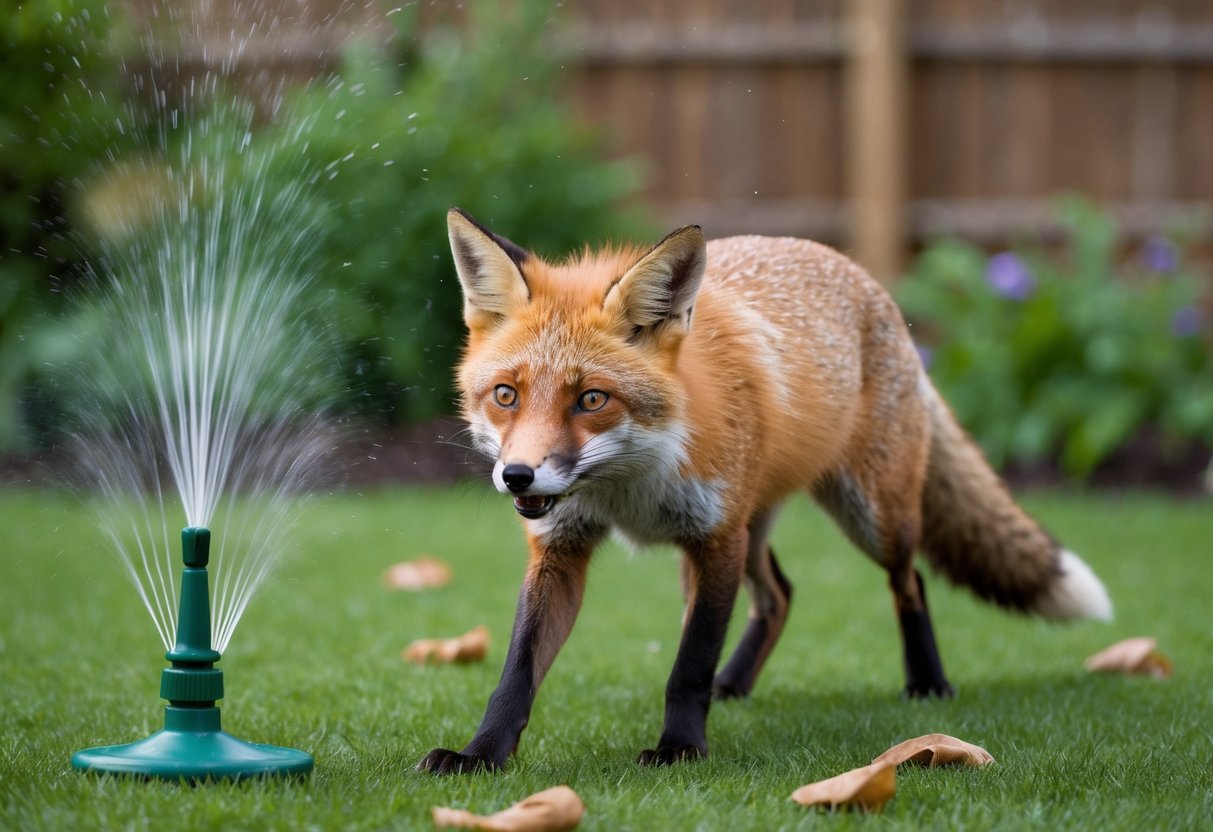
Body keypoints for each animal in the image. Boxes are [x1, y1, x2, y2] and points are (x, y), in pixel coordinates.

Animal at [418, 207, 1113, 774]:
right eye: (505, 395)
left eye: (591, 399)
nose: (518, 476)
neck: (626, 487)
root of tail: (859, 274)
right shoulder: (562, 547)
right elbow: (516, 673)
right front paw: (481, 754)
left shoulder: (714, 538)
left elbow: (689, 664)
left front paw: (680, 748)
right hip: (750, 531)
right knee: (780, 594)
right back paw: (737, 684)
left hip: (870, 518)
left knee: (908, 581)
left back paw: (927, 683)